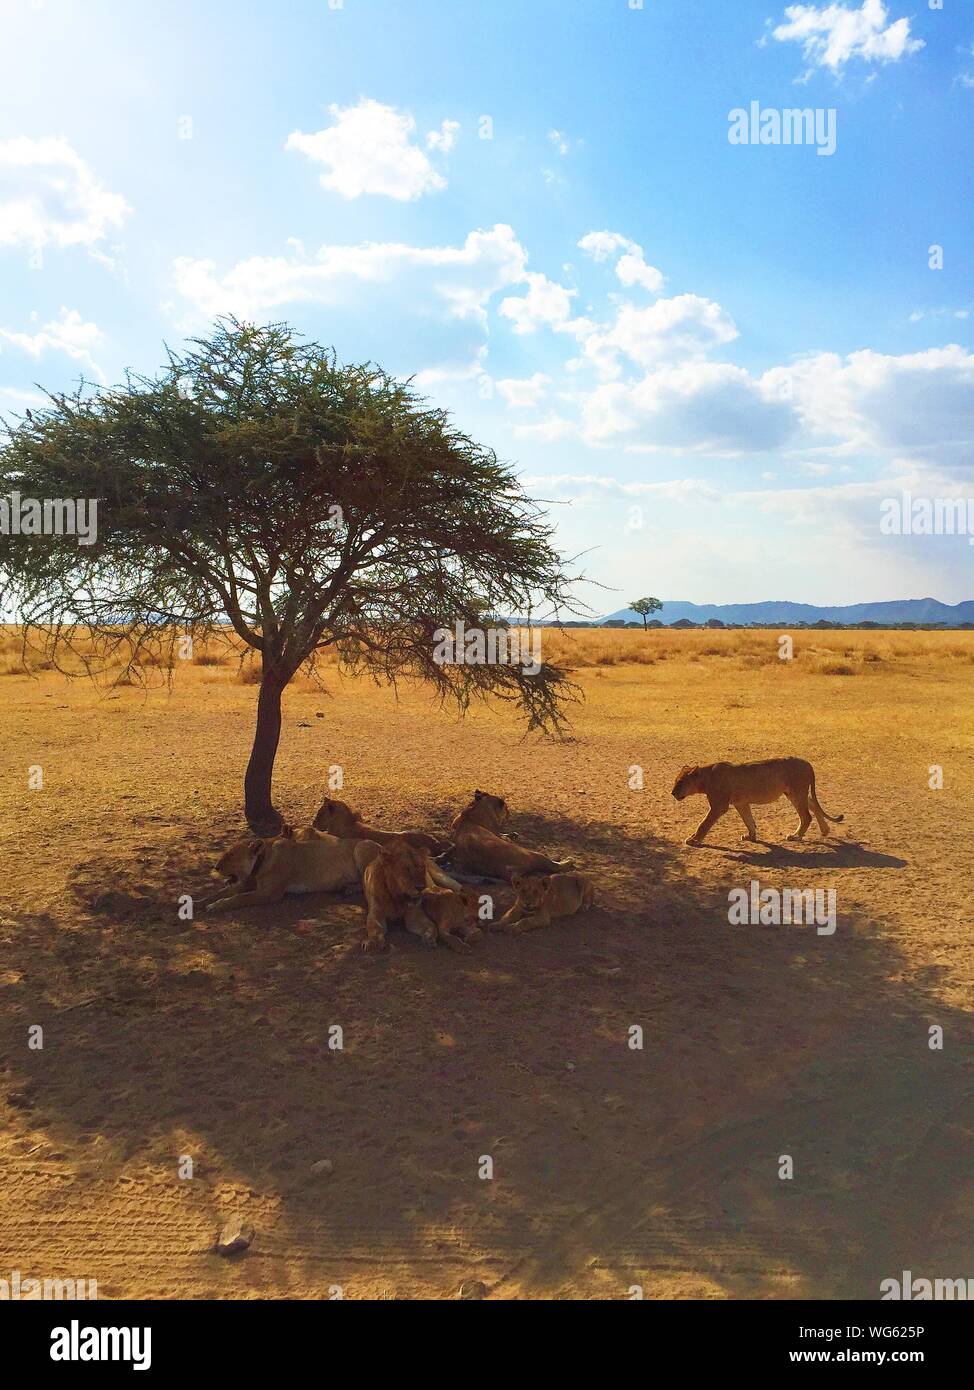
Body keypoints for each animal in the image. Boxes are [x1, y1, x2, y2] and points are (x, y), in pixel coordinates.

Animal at [208, 829, 381, 912]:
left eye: (230, 855)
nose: (216, 867)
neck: (262, 859)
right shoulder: (247, 883)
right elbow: (222, 892)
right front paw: (203, 901)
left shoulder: (270, 893)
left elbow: (239, 898)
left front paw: (215, 906)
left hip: (361, 847)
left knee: (366, 881)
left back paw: (346, 888)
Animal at [672, 757, 845, 845]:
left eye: (680, 782)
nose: (672, 793)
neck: (705, 778)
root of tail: (808, 764)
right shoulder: (741, 803)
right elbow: (748, 820)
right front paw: (751, 836)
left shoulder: (719, 806)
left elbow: (704, 824)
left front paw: (694, 839)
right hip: (793, 793)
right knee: (813, 804)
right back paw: (824, 830)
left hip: (797, 791)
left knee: (806, 816)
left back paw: (796, 836)